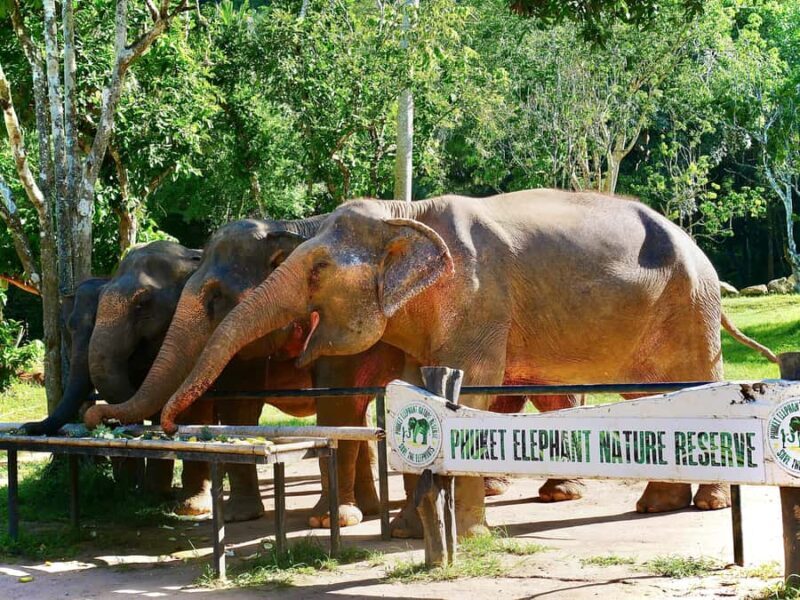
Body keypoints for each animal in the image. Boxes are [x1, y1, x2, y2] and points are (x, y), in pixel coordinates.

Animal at [84, 218, 405, 526]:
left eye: (142, 304)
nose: (93, 416)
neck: (282, 226)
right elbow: (231, 405)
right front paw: (215, 512)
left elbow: (329, 400)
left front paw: (323, 519)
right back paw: (369, 509)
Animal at [153, 188, 779, 540]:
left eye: (319, 270)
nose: (168, 423)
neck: (405, 213)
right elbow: (410, 392)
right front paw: (408, 531)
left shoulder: (479, 298)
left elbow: (465, 393)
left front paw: (454, 533)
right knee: (646, 398)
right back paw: (652, 504)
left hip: (690, 308)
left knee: (692, 388)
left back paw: (699, 504)